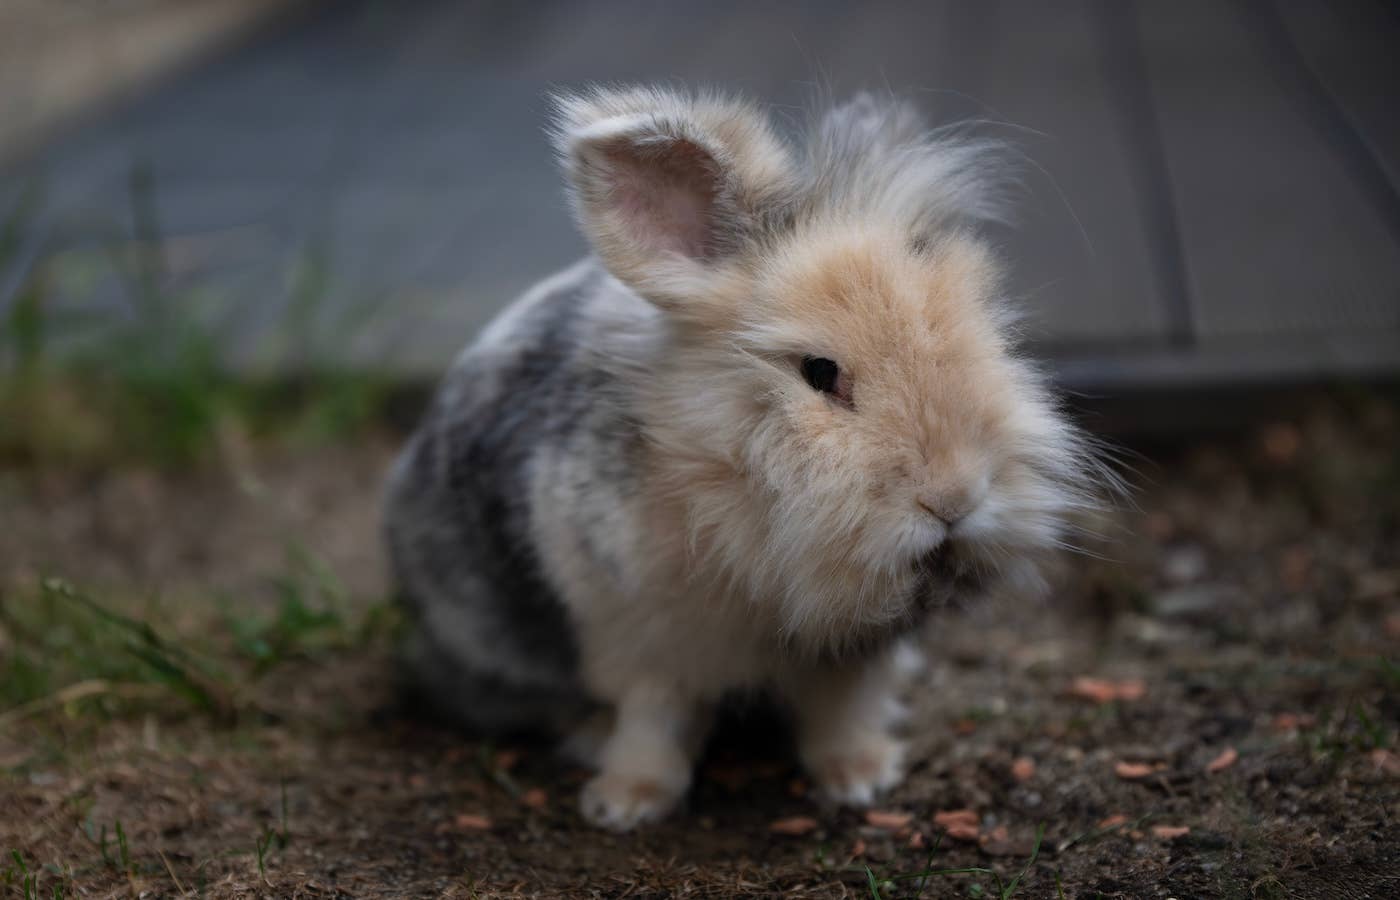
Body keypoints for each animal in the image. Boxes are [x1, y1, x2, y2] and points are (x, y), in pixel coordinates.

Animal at [383, 86, 1102, 831]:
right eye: (819, 371)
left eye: (991, 336)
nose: (956, 498)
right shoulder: (639, 642)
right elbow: (652, 722)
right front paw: (624, 805)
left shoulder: (849, 658)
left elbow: (841, 712)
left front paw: (862, 779)